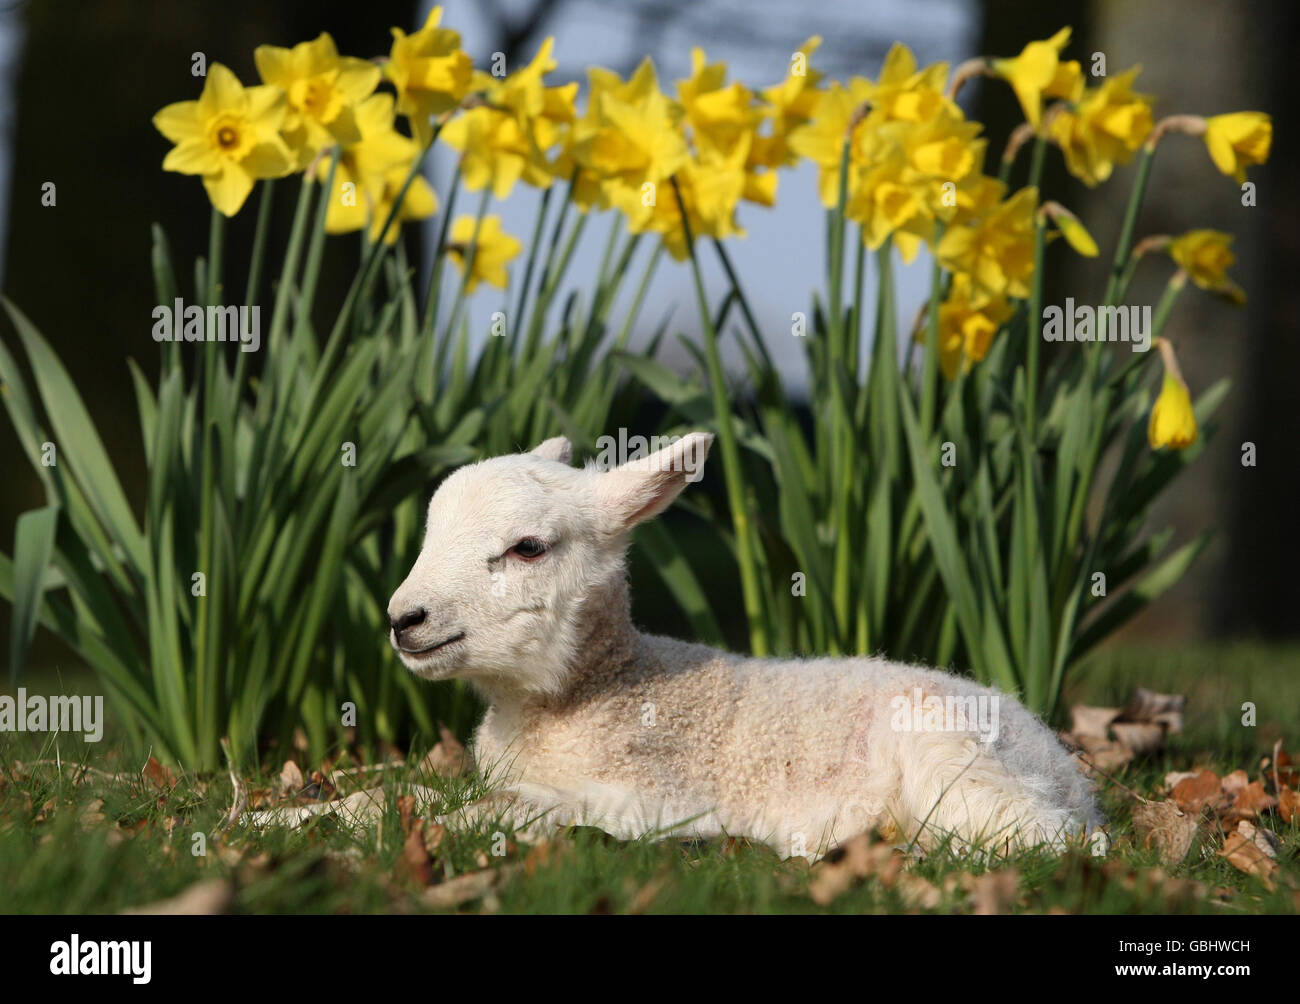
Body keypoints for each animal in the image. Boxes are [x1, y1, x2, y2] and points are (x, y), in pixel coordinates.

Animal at [385, 432, 1107, 860]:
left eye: (528, 548)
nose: (402, 618)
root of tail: (1069, 774)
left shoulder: (654, 797)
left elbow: (507, 810)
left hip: (952, 755)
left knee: (1036, 839)